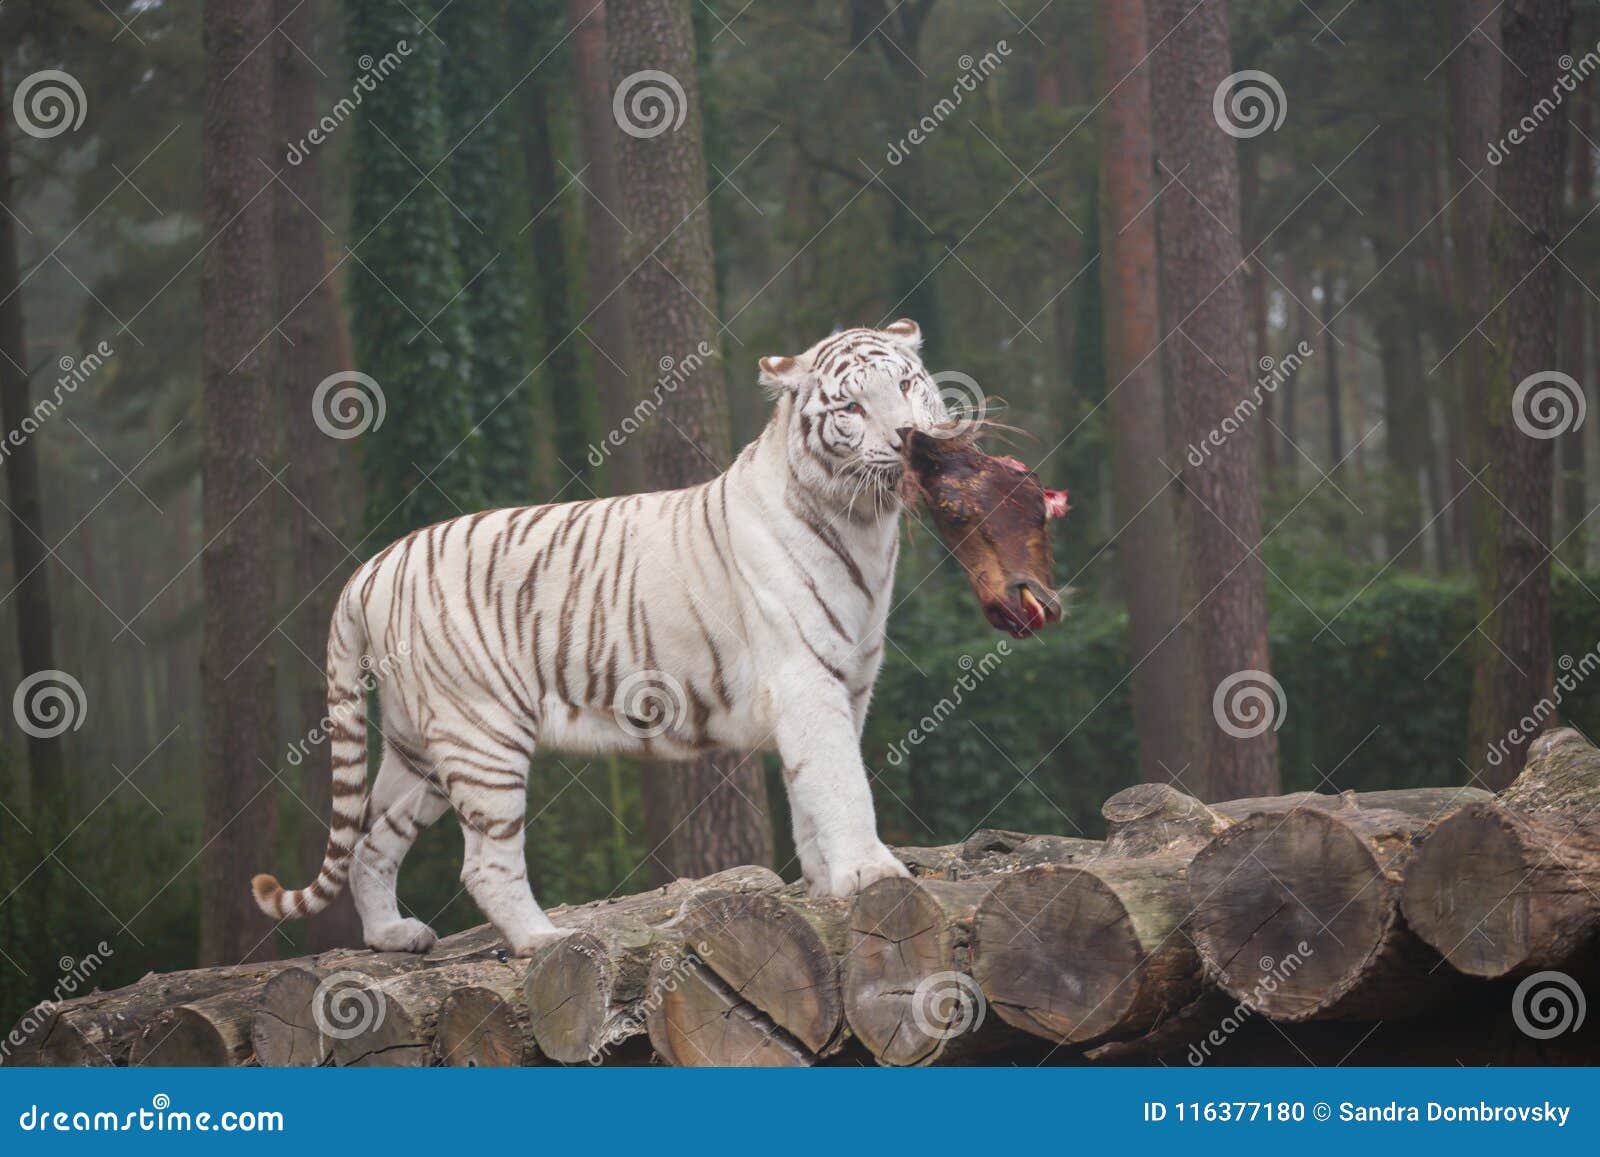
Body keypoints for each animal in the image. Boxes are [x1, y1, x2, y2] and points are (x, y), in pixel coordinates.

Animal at [252, 319, 950, 956]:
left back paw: (393, 936)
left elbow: (810, 792)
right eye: (851, 407)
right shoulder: (807, 680)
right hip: (481, 733)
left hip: (416, 747)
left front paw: (828, 885)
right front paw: (872, 872)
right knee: (483, 863)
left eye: (906, 383)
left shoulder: (847, 684)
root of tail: (370, 568)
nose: (906, 436)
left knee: (370, 842)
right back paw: (543, 940)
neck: (865, 525)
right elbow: (841, 782)